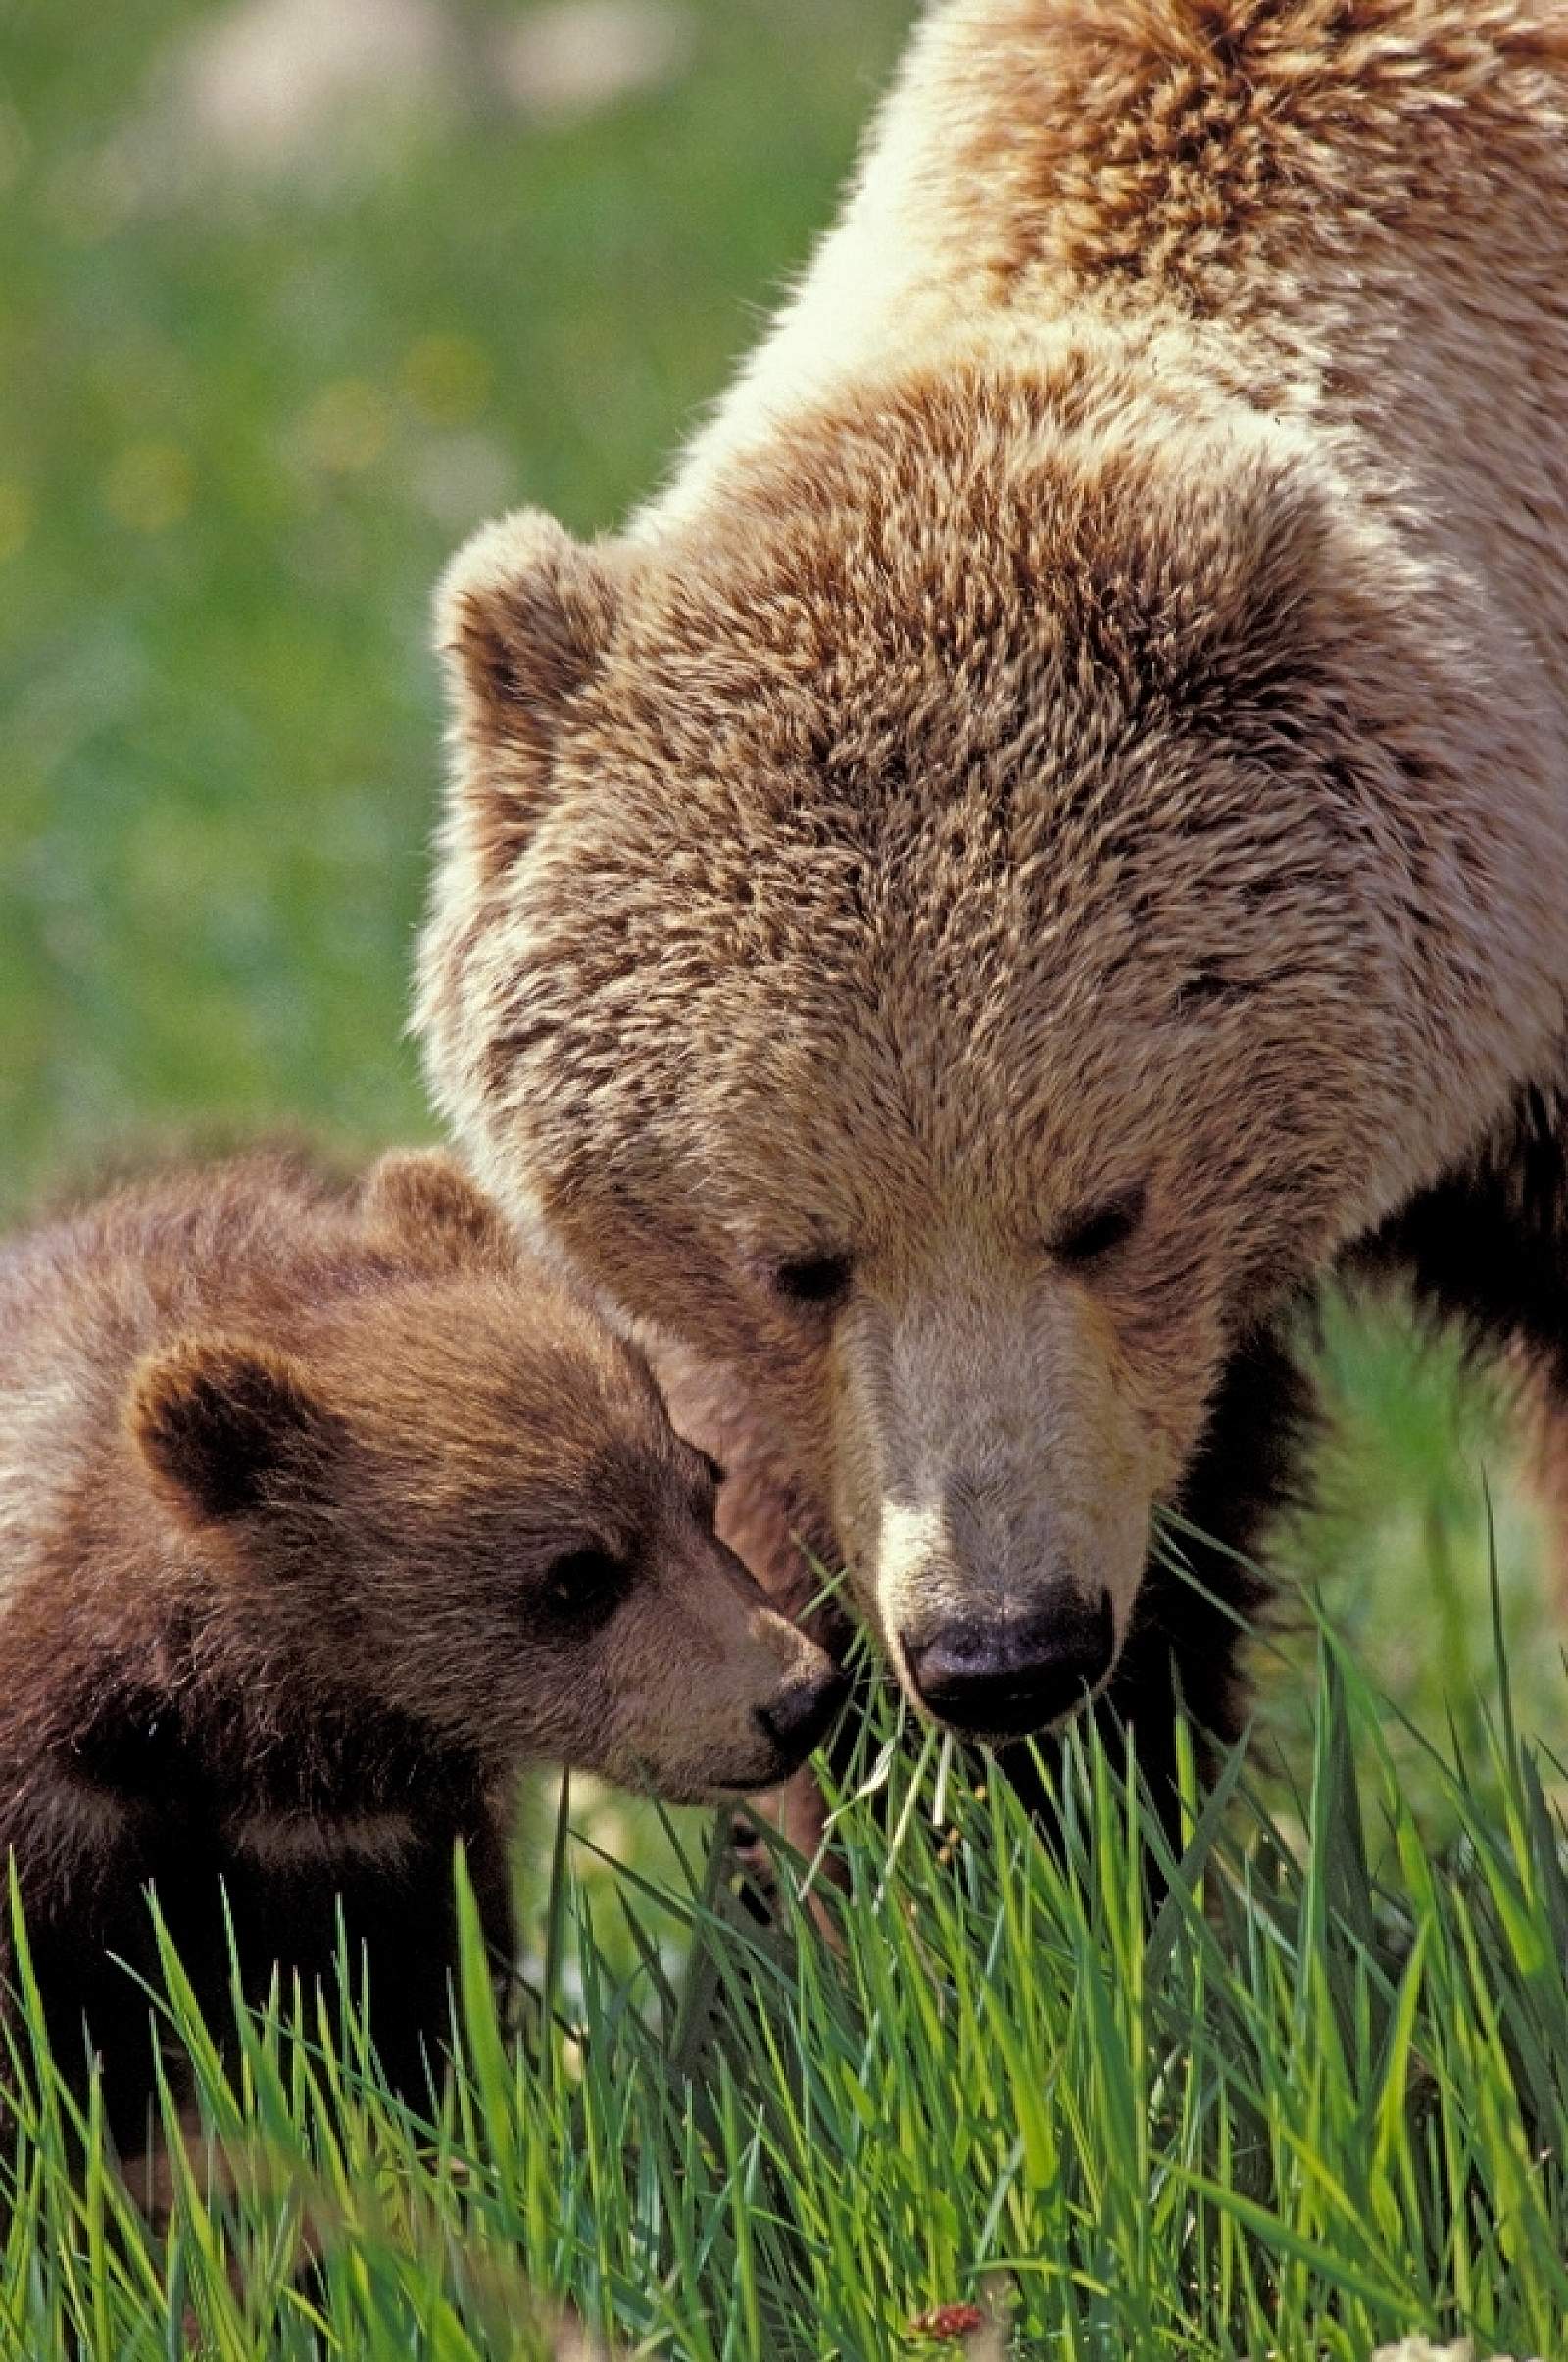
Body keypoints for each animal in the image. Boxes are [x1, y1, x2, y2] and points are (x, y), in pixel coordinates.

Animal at [0, 1147, 842, 2174]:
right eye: (576, 1575)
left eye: (700, 1487)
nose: (798, 1697)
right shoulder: (66, 1844)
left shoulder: (384, 1849)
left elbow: (410, 2030)